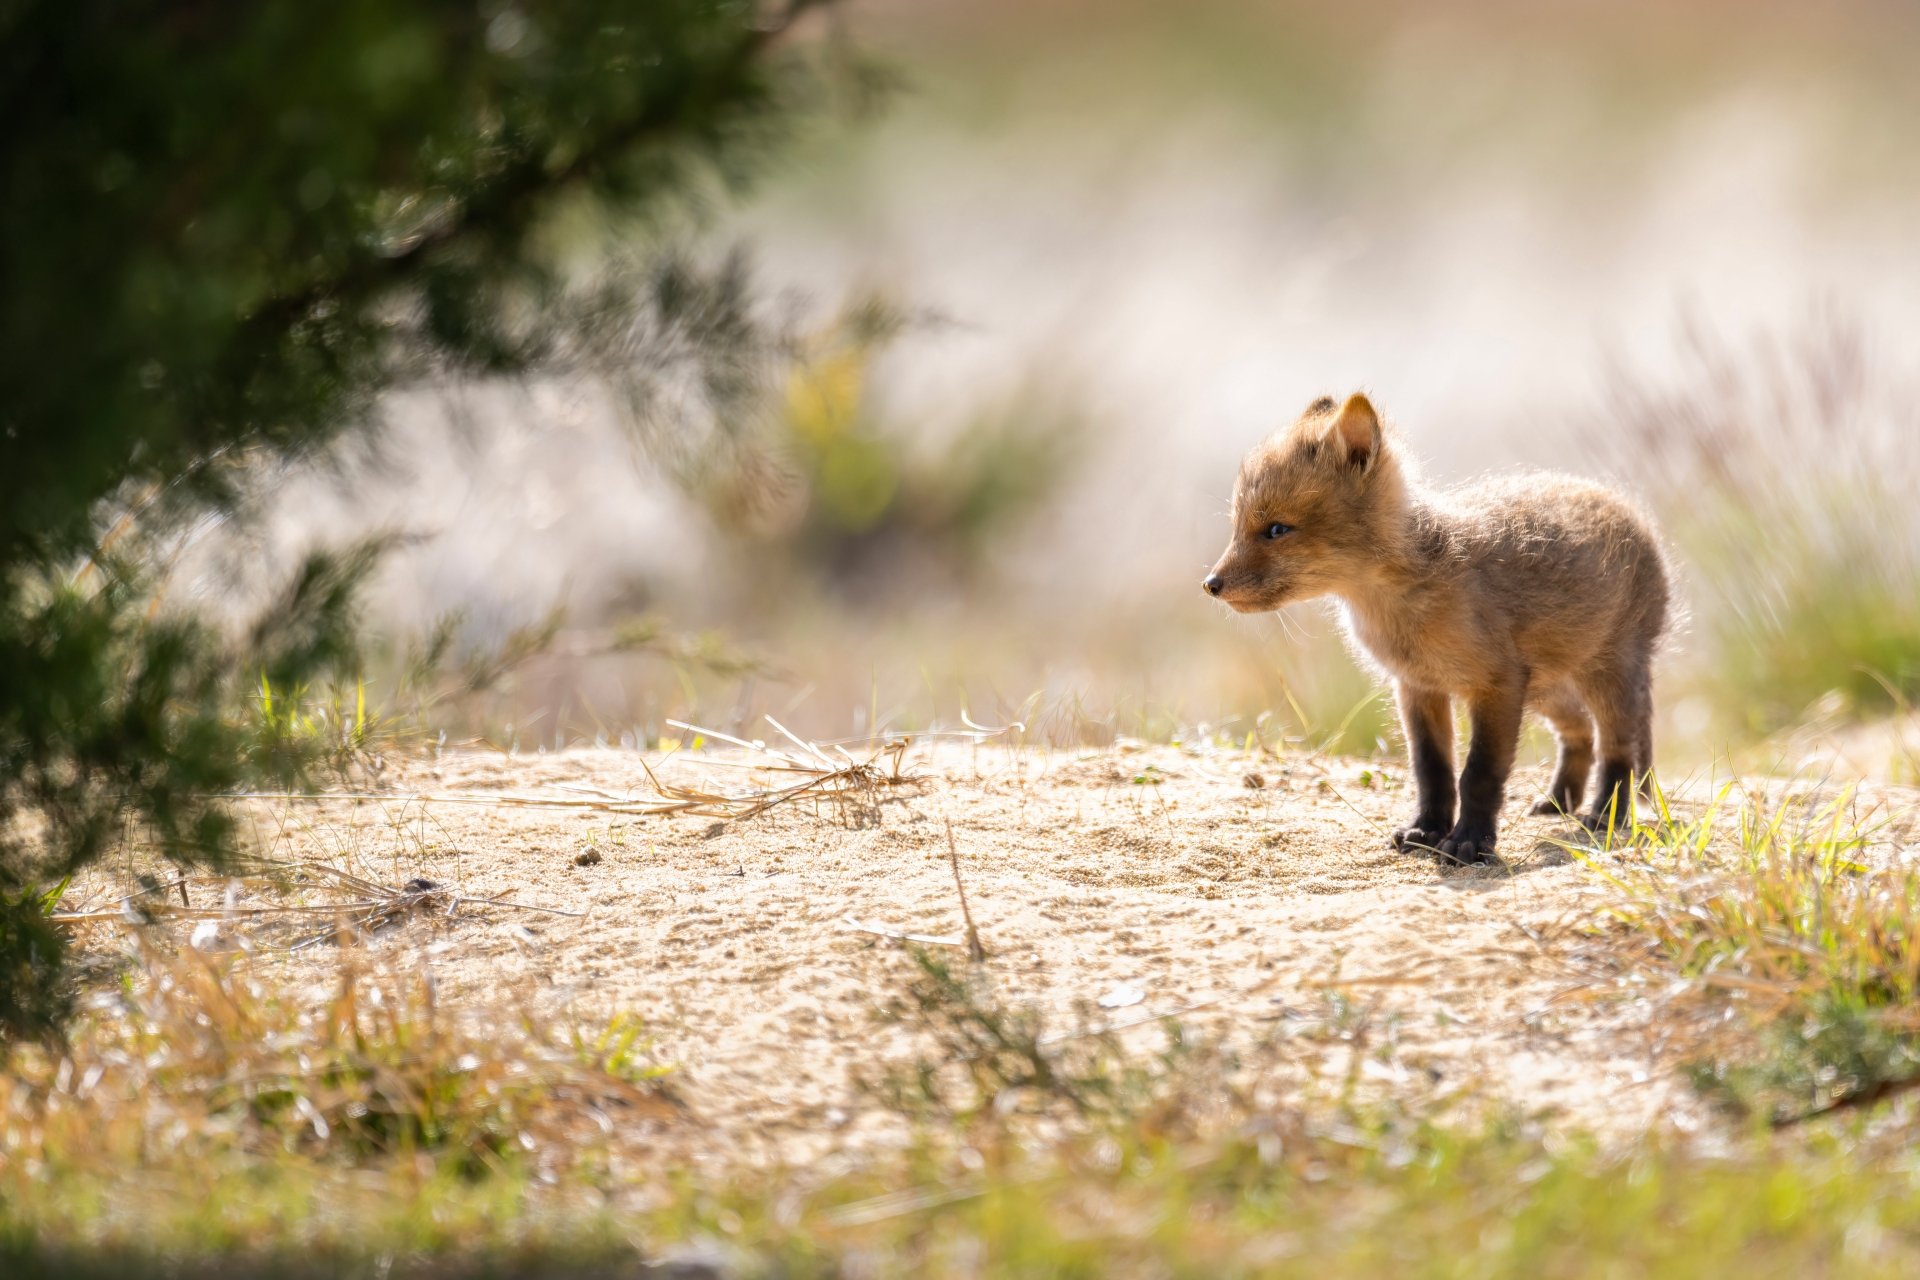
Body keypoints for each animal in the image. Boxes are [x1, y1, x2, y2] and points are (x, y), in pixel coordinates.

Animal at [1204, 393, 1669, 864]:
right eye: (1238, 525)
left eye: (1276, 529)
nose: (1211, 585)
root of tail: (1626, 508)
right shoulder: (1417, 687)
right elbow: (1433, 771)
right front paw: (1426, 830)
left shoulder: (1497, 686)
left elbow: (1479, 773)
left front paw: (1470, 842)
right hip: (1547, 689)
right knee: (1580, 733)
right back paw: (1559, 803)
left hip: (1603, 677)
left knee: (1618, 751)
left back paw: (1605, 816)